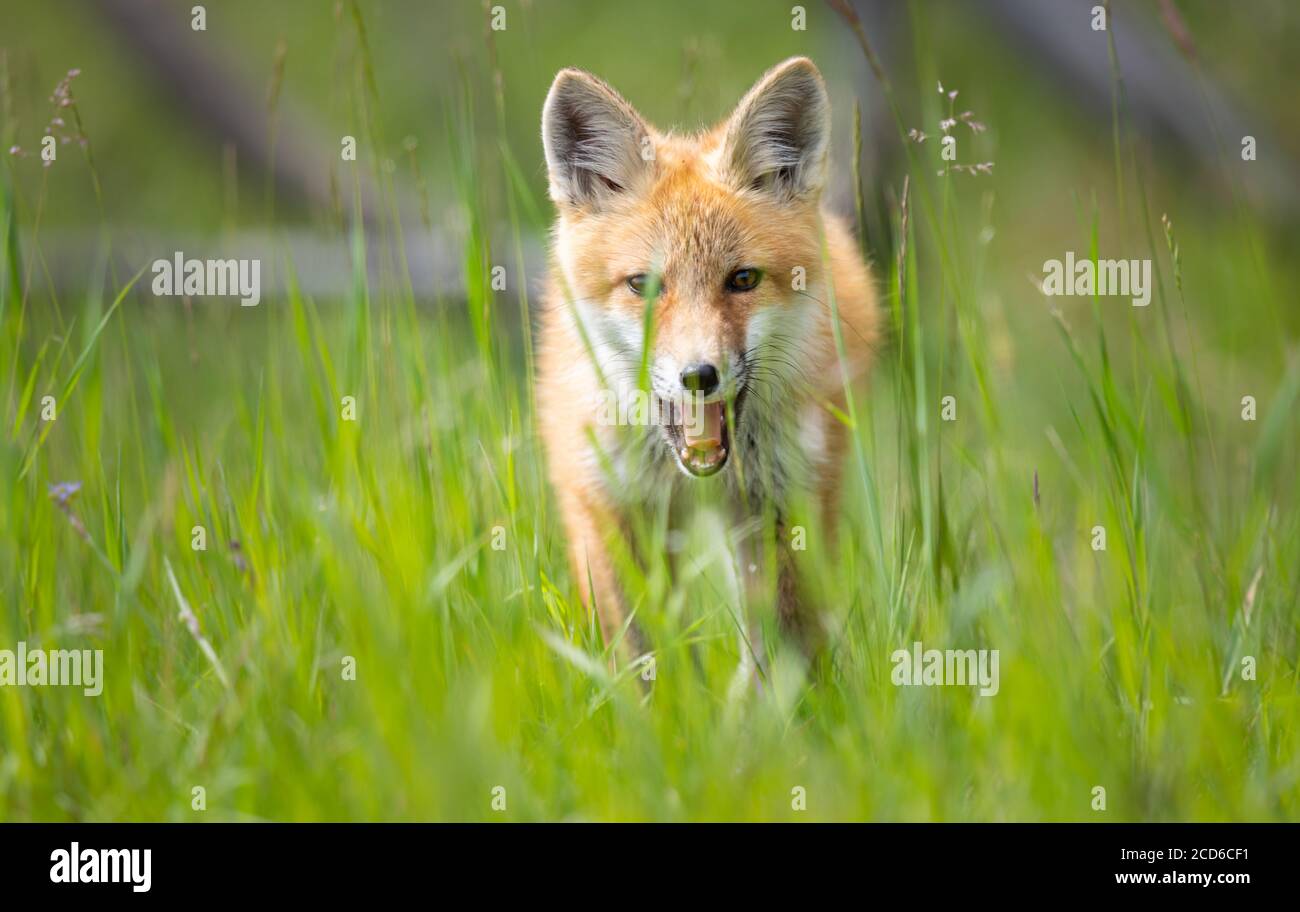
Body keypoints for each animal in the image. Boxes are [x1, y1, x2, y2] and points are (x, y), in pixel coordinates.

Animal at [537, 57, 878, 669]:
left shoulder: (782, 506)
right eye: (643, 285)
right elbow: (644, 657)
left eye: (742, 279)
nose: (699, 377)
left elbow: (781, 656)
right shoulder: (610, 507)